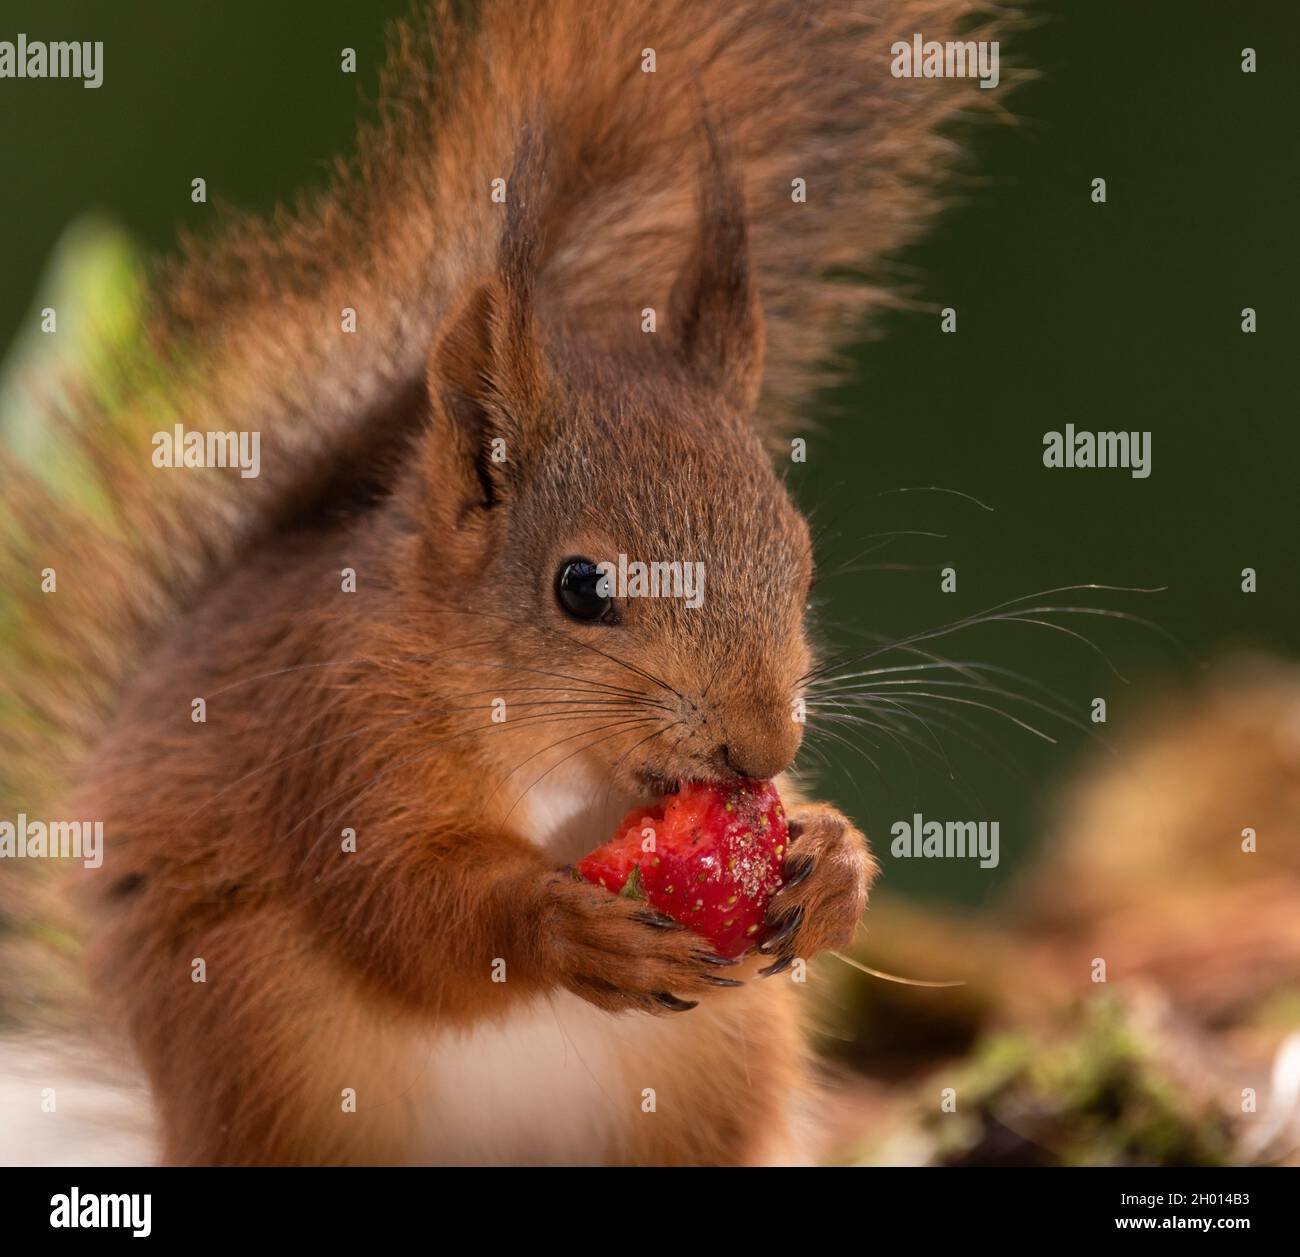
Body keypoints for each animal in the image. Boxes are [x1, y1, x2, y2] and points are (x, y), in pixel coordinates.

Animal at [0, 0, 1006, 1165]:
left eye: (796, 560)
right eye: (580, 585)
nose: (761, 749)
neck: (552, 749)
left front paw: (835, 860)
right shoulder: (334, 739)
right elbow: (401, 906)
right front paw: (566, 927)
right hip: (266, 1046)